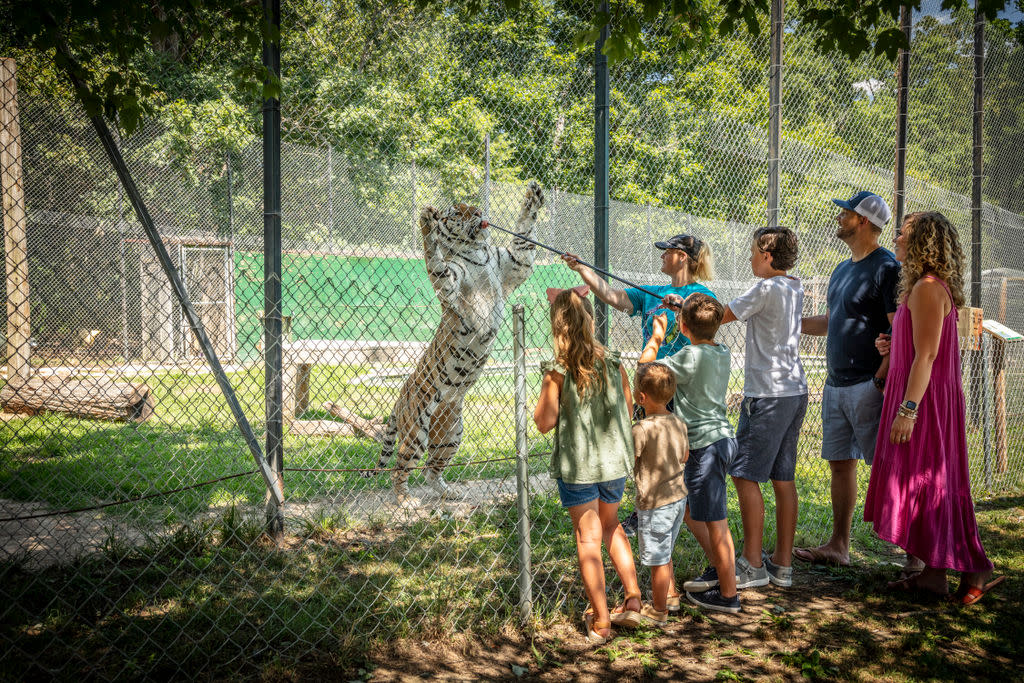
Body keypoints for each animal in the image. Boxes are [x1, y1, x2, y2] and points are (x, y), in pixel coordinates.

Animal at [366, 180, 545, 505]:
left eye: (471, 206)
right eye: (457, 212)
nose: (477, 212)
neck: (477, 251)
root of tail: (399, 400)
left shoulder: (516, 262)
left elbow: (524, 235)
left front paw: (532, 198)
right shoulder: (450, 282)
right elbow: (435, 262)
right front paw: (427, 223)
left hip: (450, 434)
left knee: (430, 469)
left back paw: (448, 493)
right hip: (416, 431)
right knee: (399, 468)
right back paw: (405, 501)